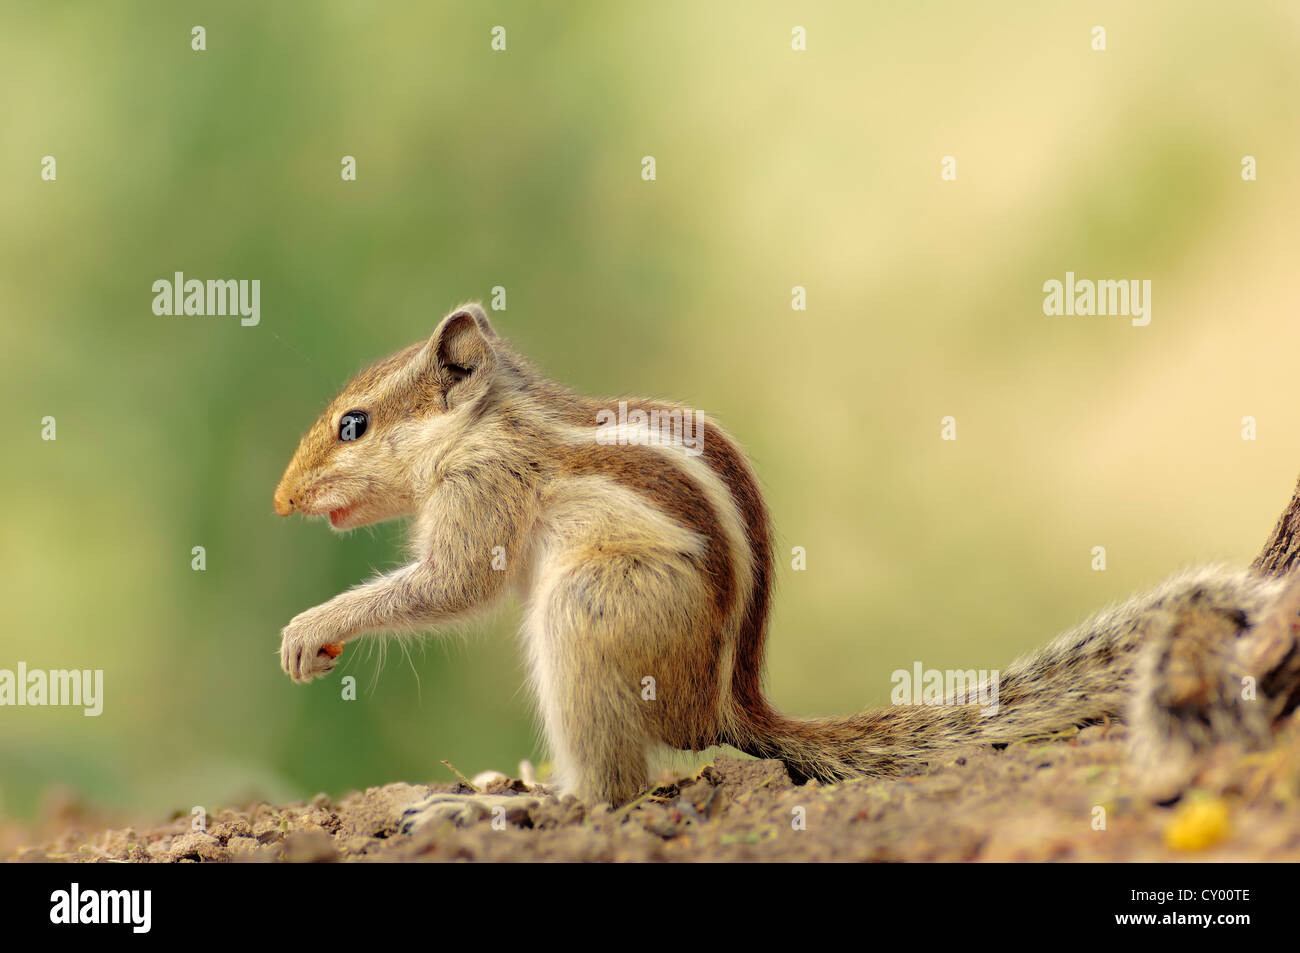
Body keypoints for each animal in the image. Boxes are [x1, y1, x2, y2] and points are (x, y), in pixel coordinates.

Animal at [273, 304, 1300, 805]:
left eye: (354, 424)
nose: (282, 499)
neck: (486, 420)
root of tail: (725, 703)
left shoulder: (483, 487)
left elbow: (450, 585)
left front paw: (311, 627)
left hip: (592, 611)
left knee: (617, 789)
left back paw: (521, 802)